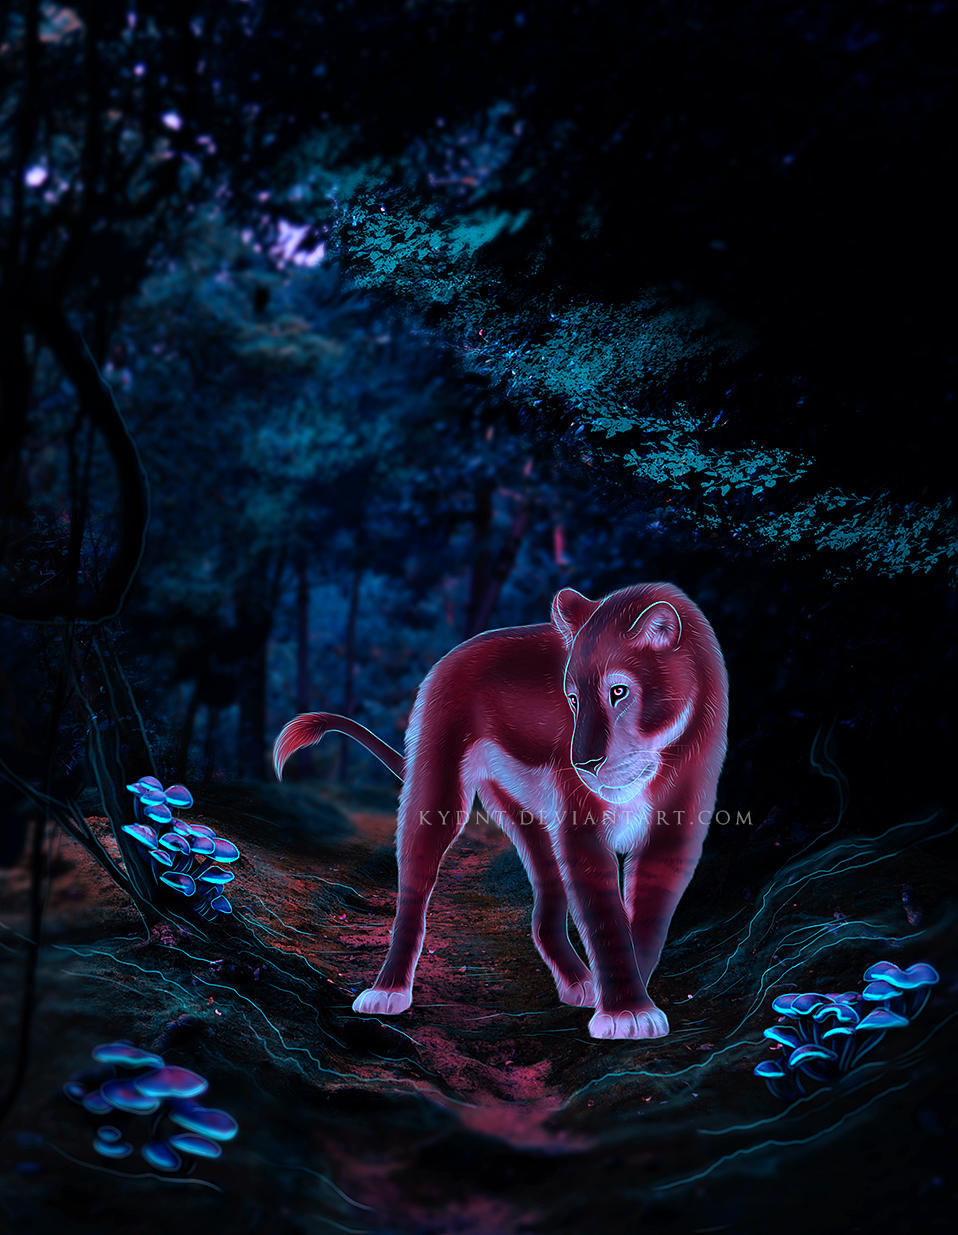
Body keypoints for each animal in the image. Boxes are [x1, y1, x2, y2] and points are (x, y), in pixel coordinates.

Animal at [273, 582, 728, 1040]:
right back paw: (387, 992)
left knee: (544, 912)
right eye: (573, 699)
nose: (583, 764)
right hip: (438, 793)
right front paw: (626, 1012)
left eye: (619, 691)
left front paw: (631, 1004)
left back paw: (580, 983)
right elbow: (607, 922)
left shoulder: (674, 839)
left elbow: (648, 925)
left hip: (532, 819)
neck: (659, 760)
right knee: (413, 890)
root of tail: (457, 650)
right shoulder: (583, 832)